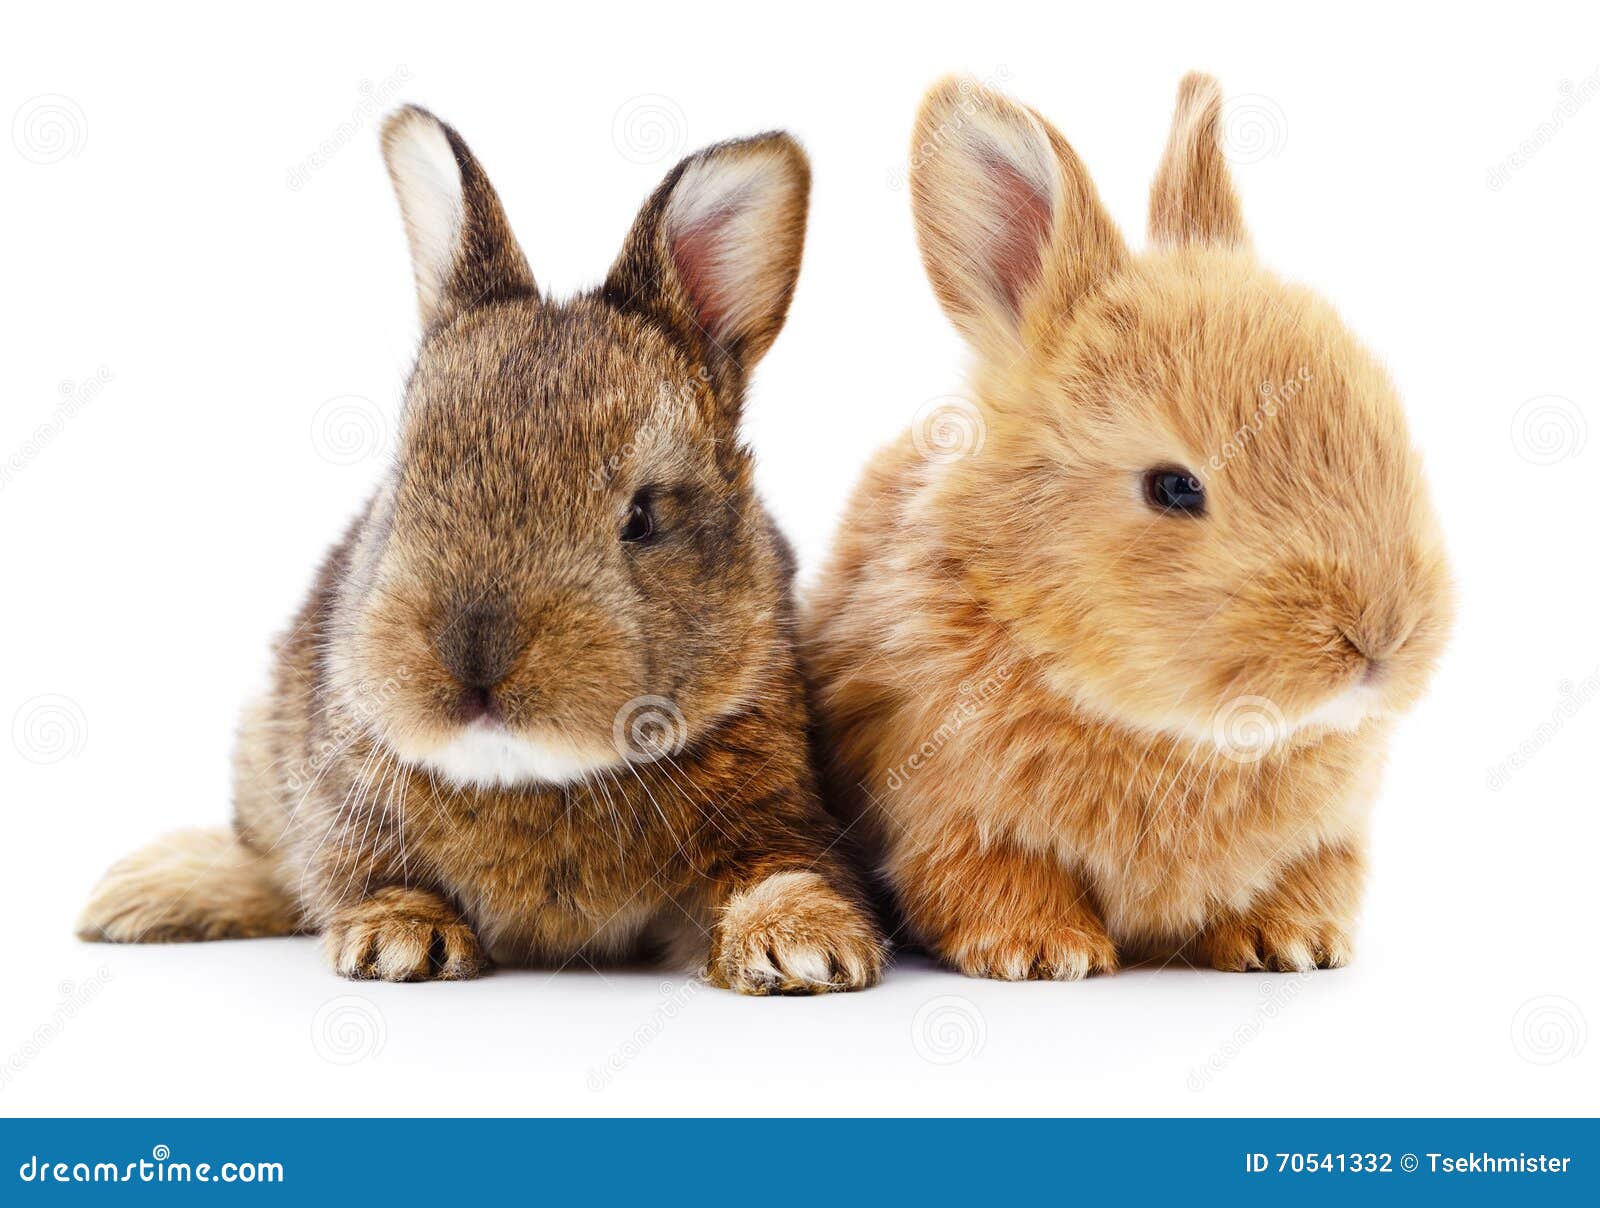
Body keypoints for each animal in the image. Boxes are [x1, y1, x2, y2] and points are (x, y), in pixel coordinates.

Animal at [77, 105, 885, 993]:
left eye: (642, 516)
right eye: (402, 481)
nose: (474, 659)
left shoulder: (780, 816)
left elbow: (782, 871)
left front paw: (802, 945)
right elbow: (361, 879)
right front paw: (399, 940)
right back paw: (142, 894)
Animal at [803, 74, 1454, 980]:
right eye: (1174, 488)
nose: (1380, 640)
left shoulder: (1331, 837)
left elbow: (1308, 878)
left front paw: (1292, 944)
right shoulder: (950, 817)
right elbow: (992, 879)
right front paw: (1045, 953)